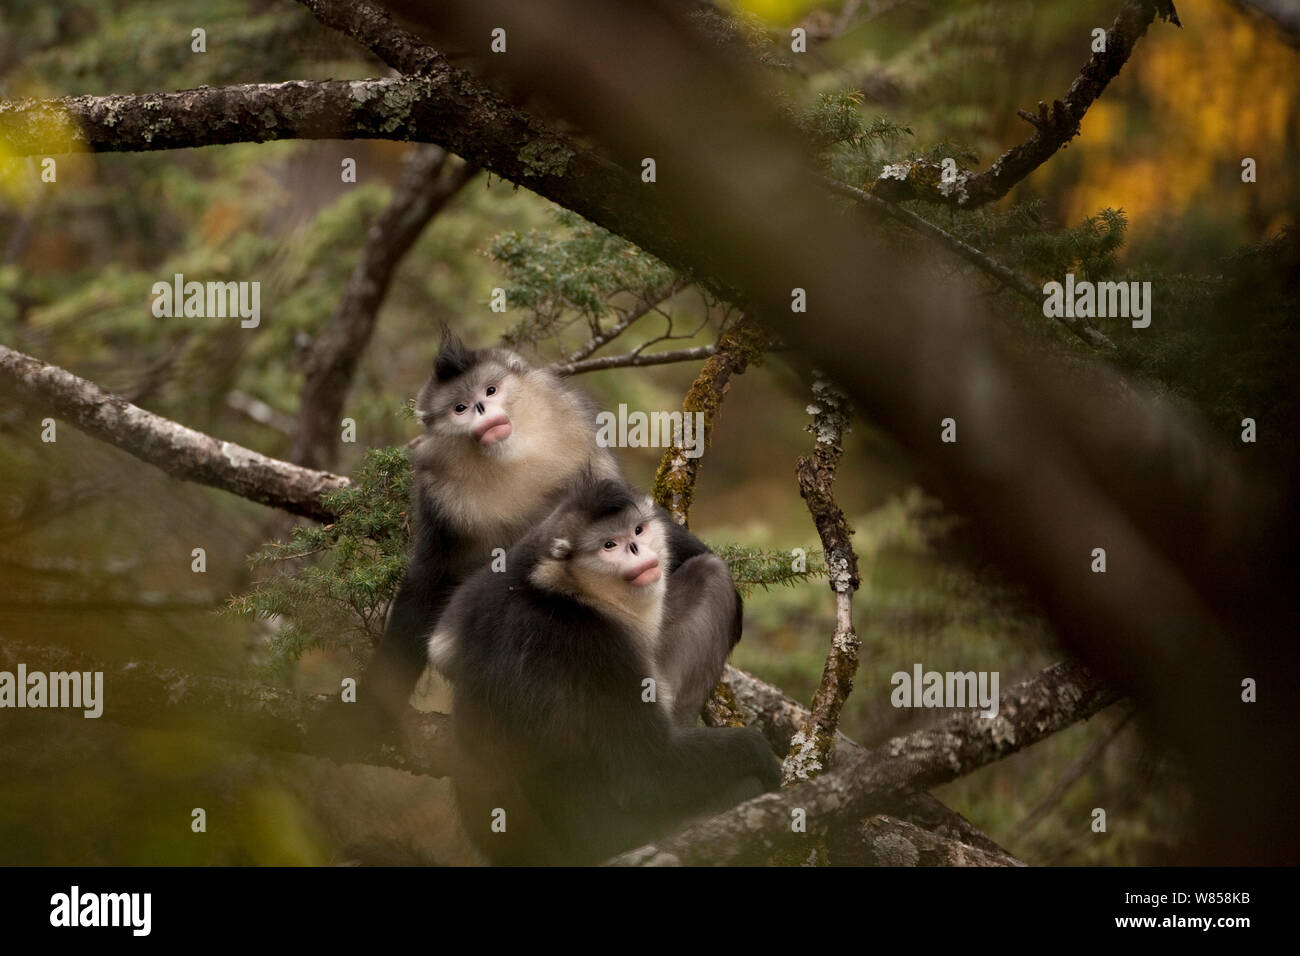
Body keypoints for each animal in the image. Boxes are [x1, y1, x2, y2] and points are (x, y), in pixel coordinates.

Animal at [428, 477, 781, 864]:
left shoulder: (489, 596)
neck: (573, 597)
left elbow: (441, 645)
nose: (636, 548)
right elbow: (645, 774)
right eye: (609, 545)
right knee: (713, 573)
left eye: (638, 531)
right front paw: (760, 752)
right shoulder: (599, 648)